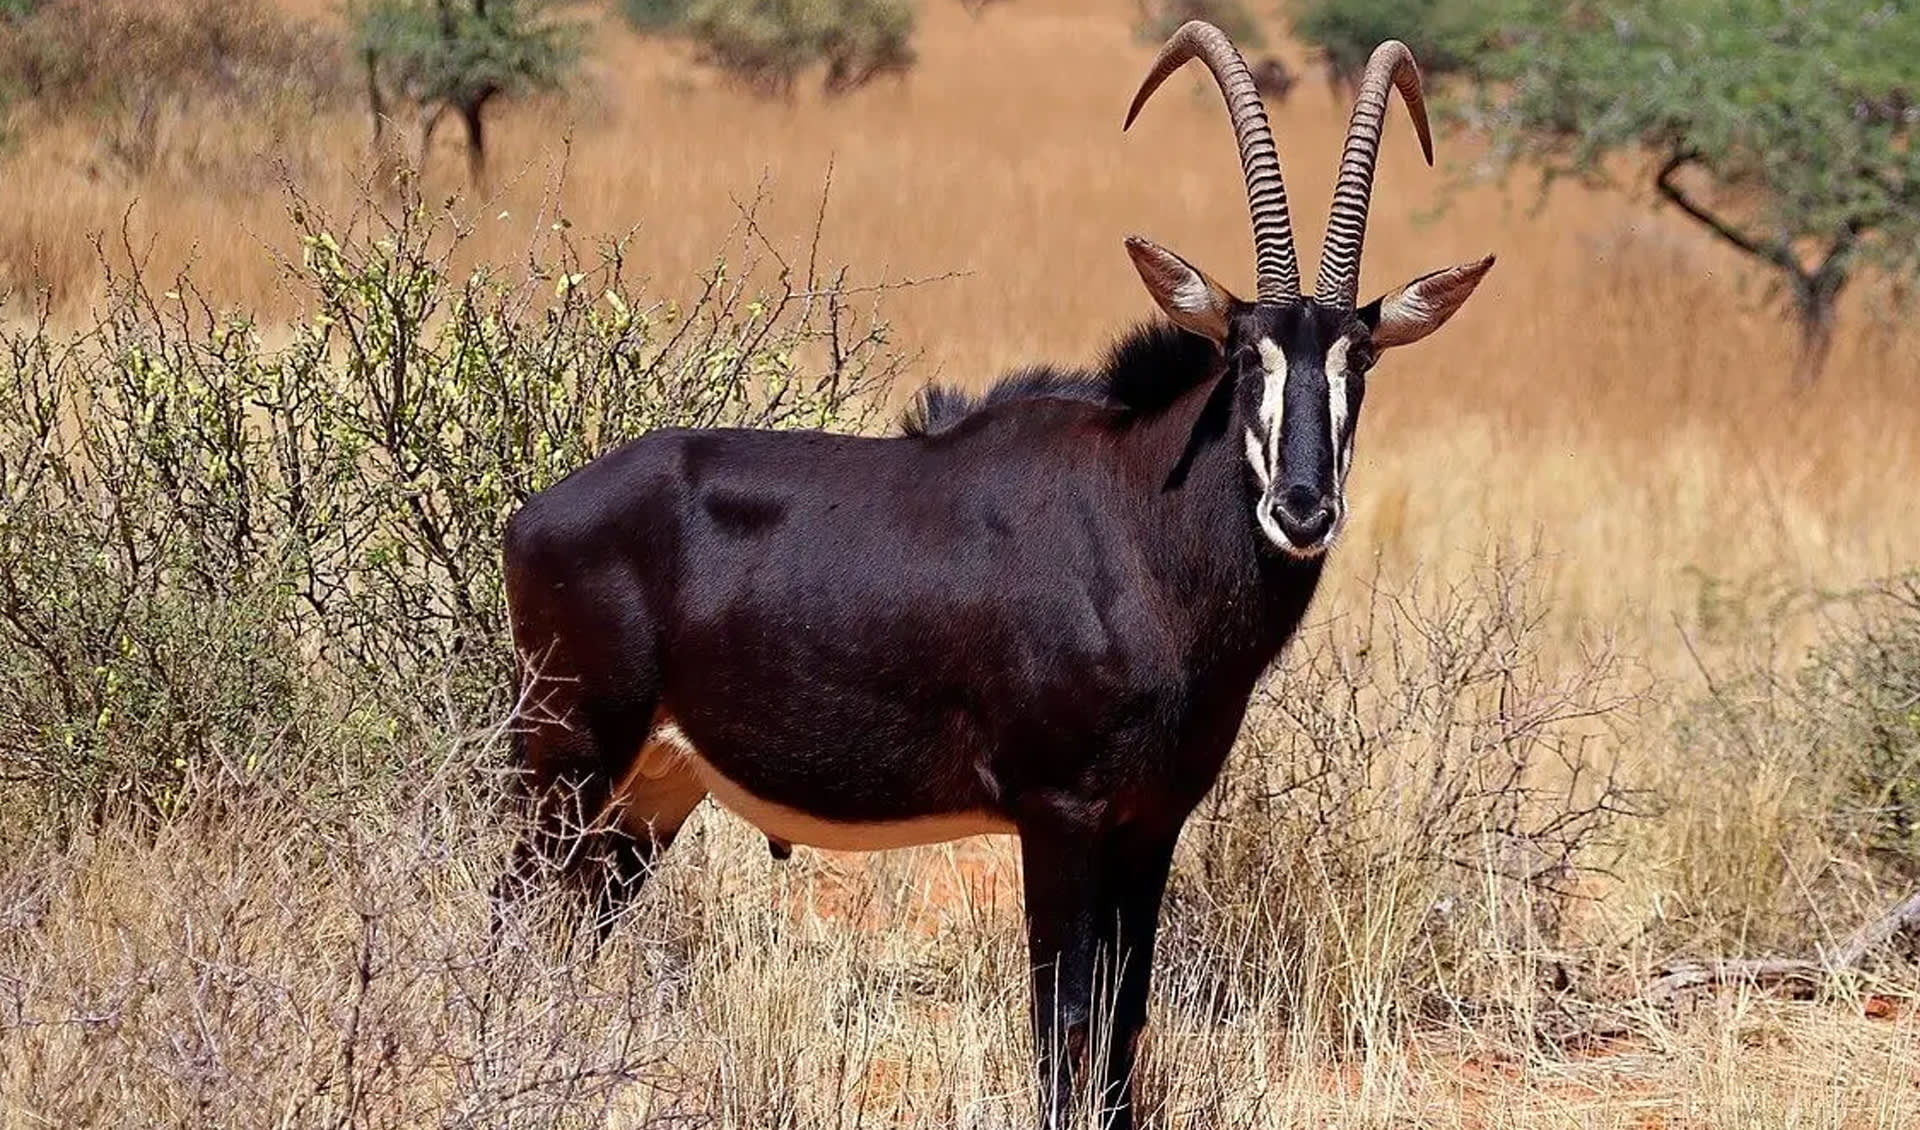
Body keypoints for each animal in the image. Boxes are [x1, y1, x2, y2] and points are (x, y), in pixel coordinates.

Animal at [497, 21, 1492, 1128]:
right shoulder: (1059, 814)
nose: (1303, 509)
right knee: (516, 918)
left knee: (569, 927)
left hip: (650, 788)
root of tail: (534, 515)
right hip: (567, 754)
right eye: (1245, 358)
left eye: (1361, 360)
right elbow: (1064, 1024)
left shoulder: (1151, 822)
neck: (1139, 528)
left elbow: (1123, 1022)